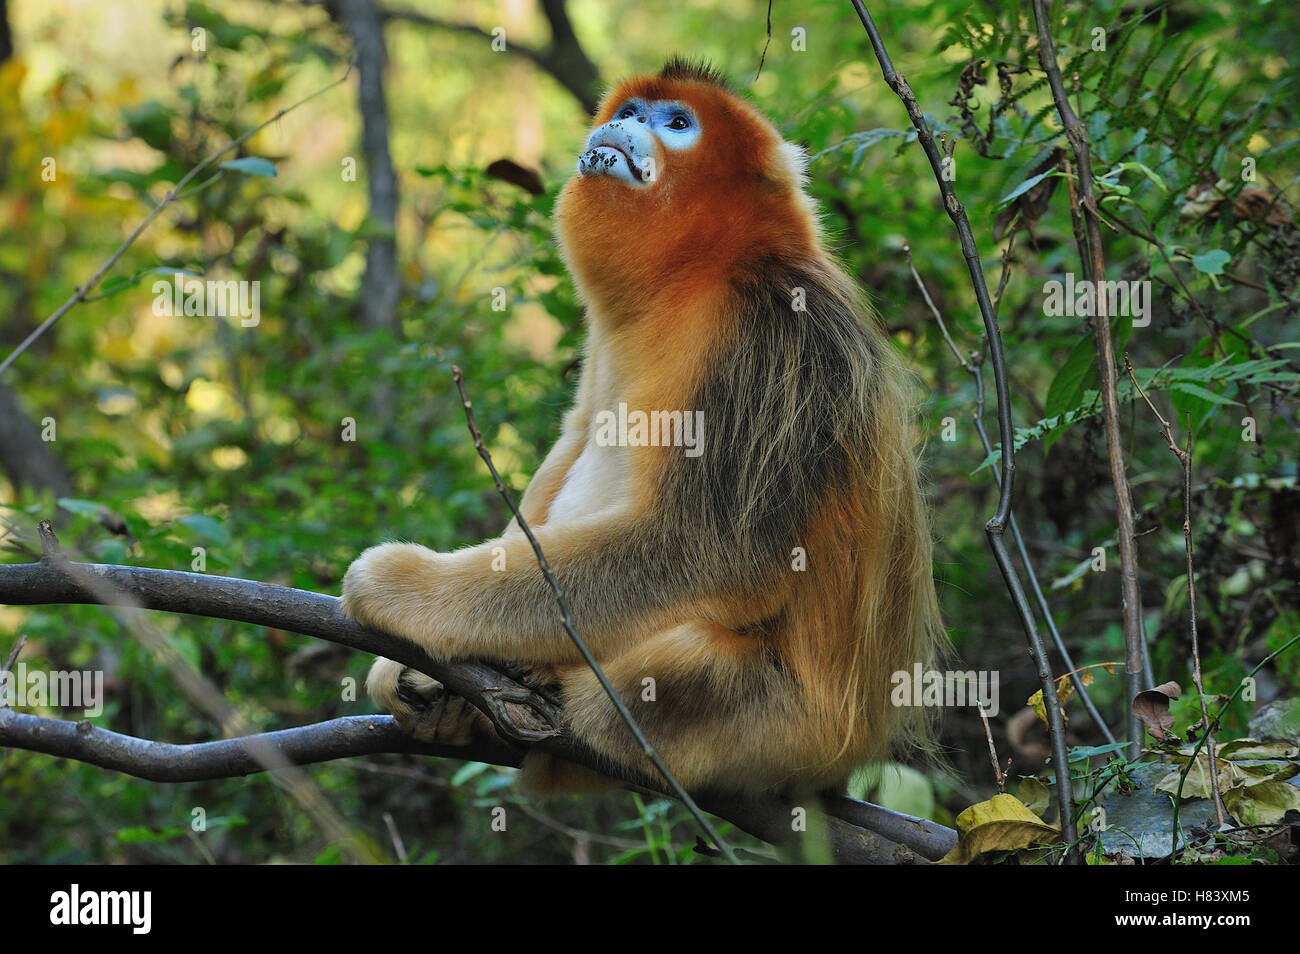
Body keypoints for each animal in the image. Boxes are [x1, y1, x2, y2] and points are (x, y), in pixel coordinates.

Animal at [341, 58, 945, 797]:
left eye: (677, 123)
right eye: (632, 109)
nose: (625, 123)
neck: (696, 273)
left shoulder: (771, 329)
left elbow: (708, 548)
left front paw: (398, 587)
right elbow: (575, 438)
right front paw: (414, 669)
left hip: (798, 733)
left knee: (671, 674)